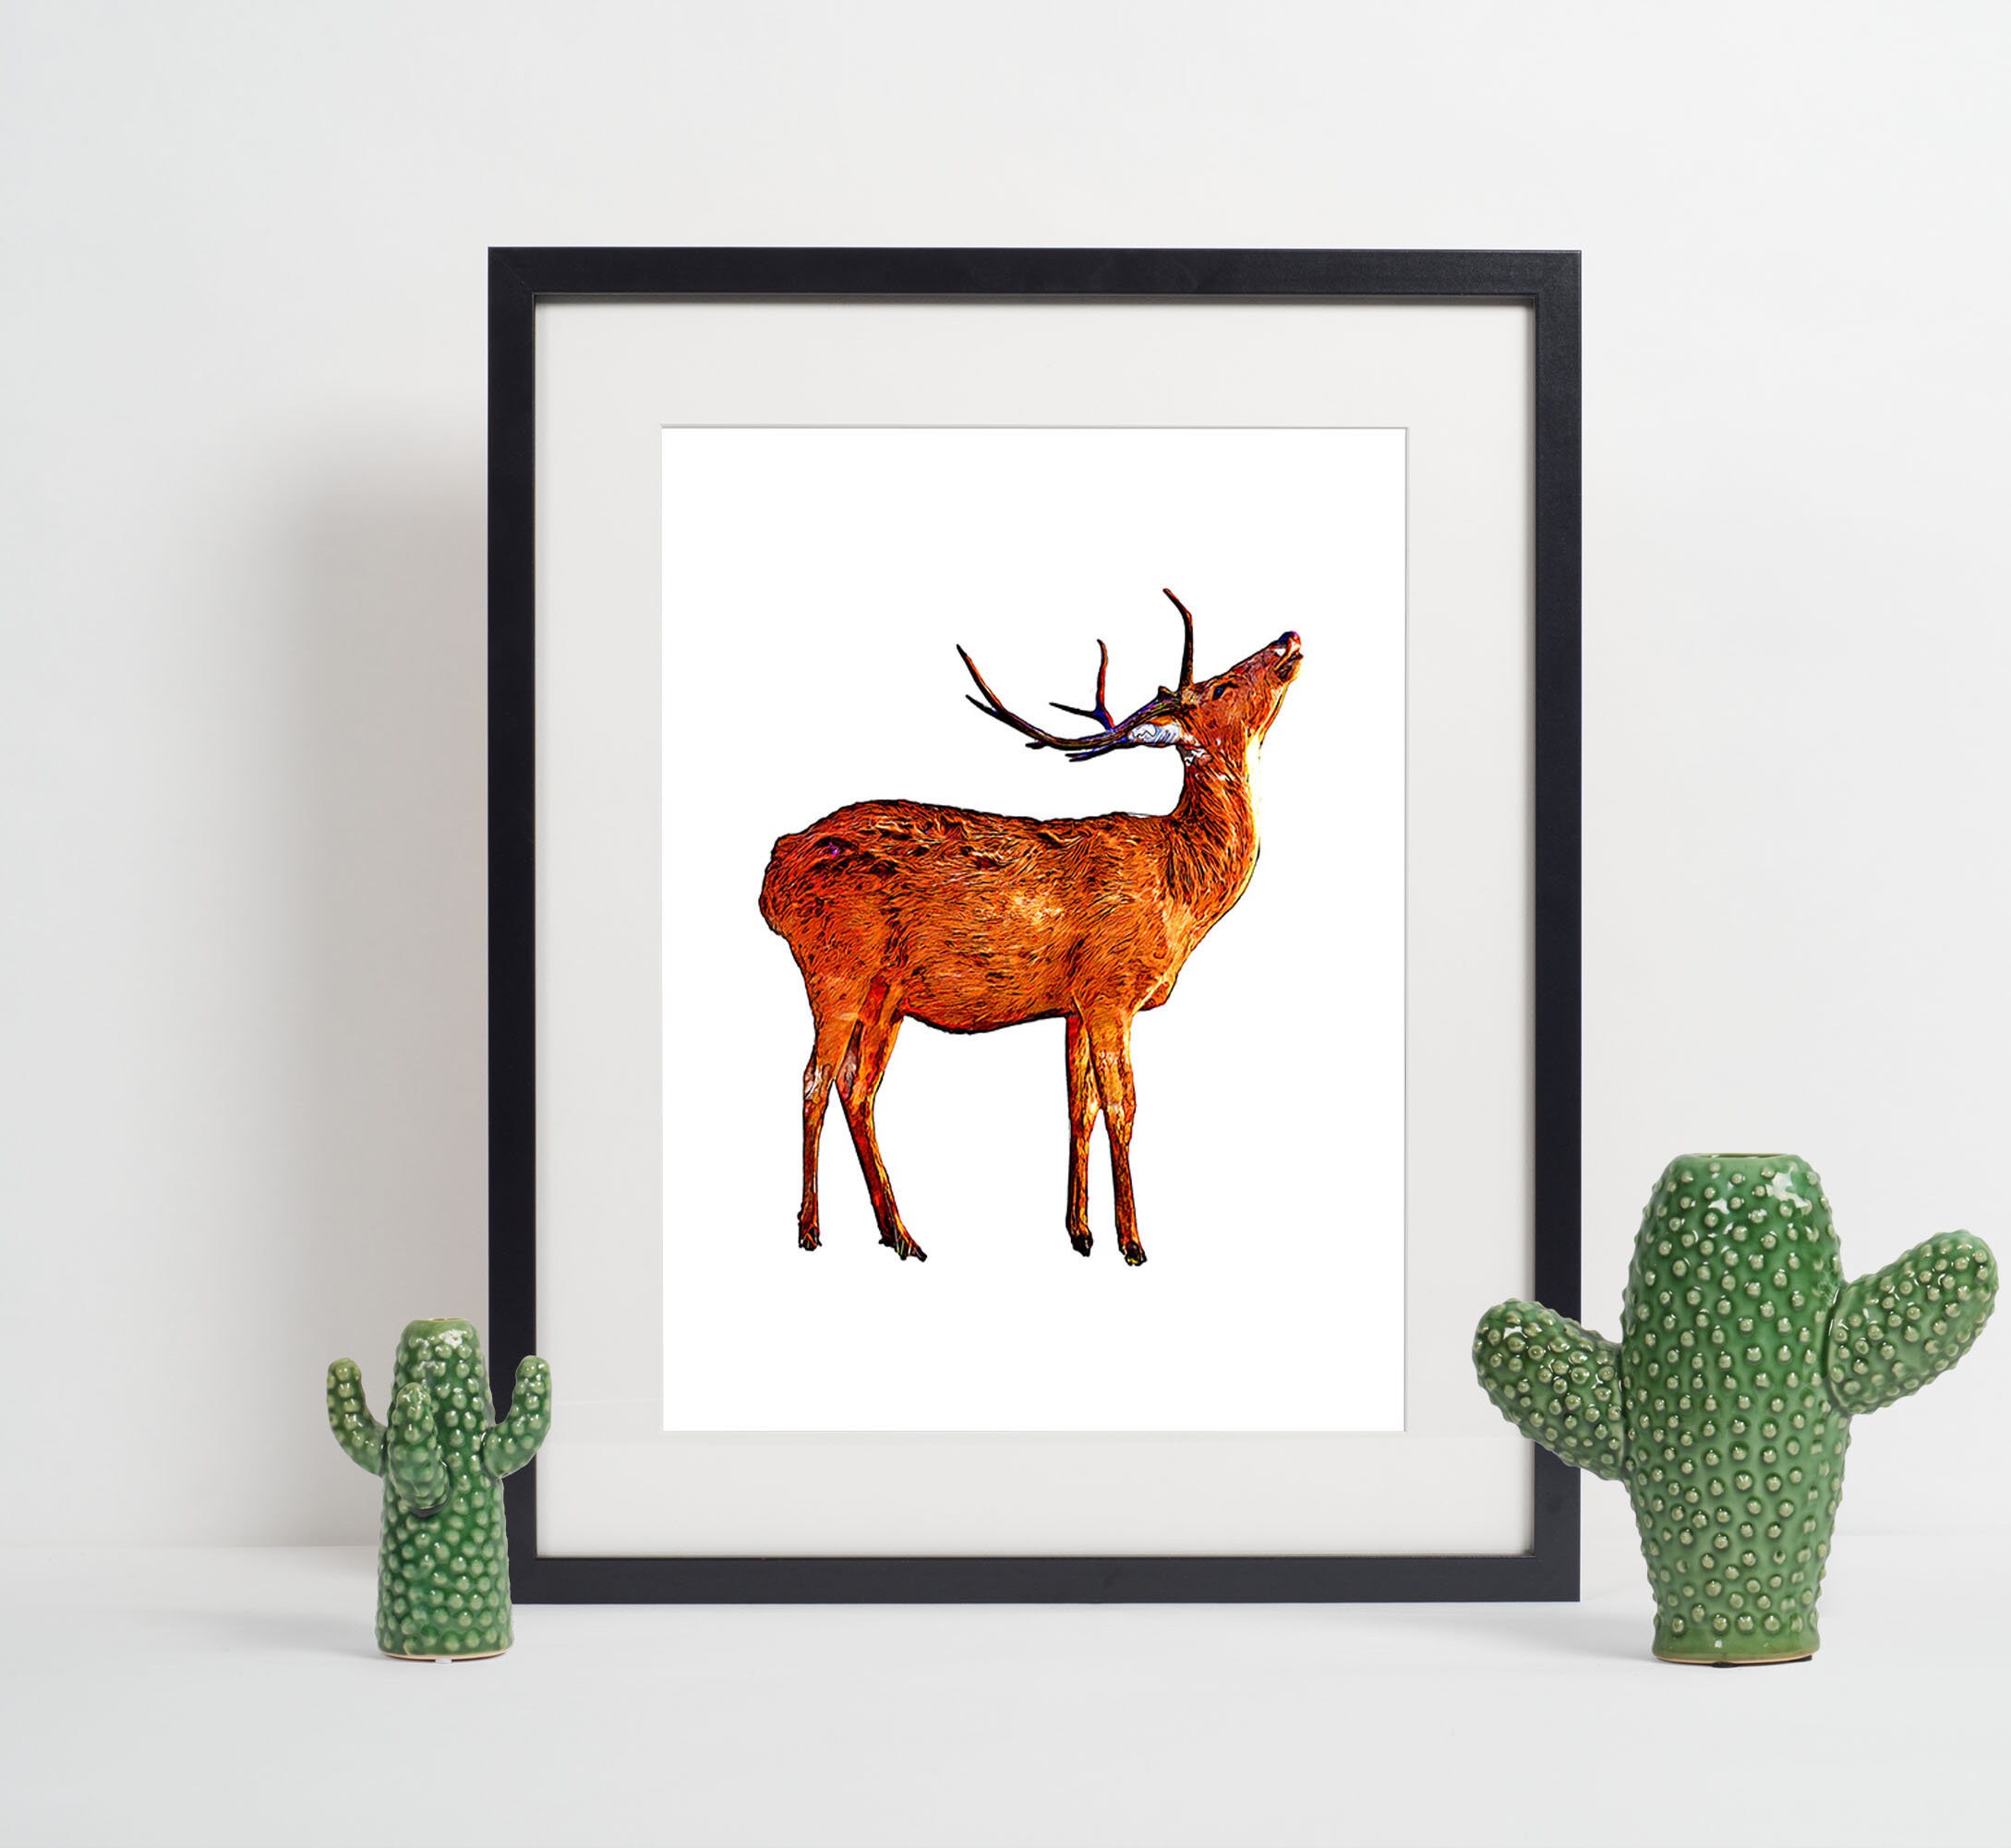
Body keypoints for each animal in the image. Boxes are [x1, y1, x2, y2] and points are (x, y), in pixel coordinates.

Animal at [758, 590, 1303, 1266]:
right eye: (1222, 686)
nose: (1287, 638)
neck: (1182, 890)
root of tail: (773, 874)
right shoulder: (1111, 988)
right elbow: (1123, 1107)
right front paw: (1132, 1242)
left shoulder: (1075, 1002)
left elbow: (1079, 1108)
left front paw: (1080, 1231)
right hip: (835, 967)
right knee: (813, 1082)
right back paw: (811, 1229)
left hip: (885, 993)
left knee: (856, 1091)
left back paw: (900, 1234)